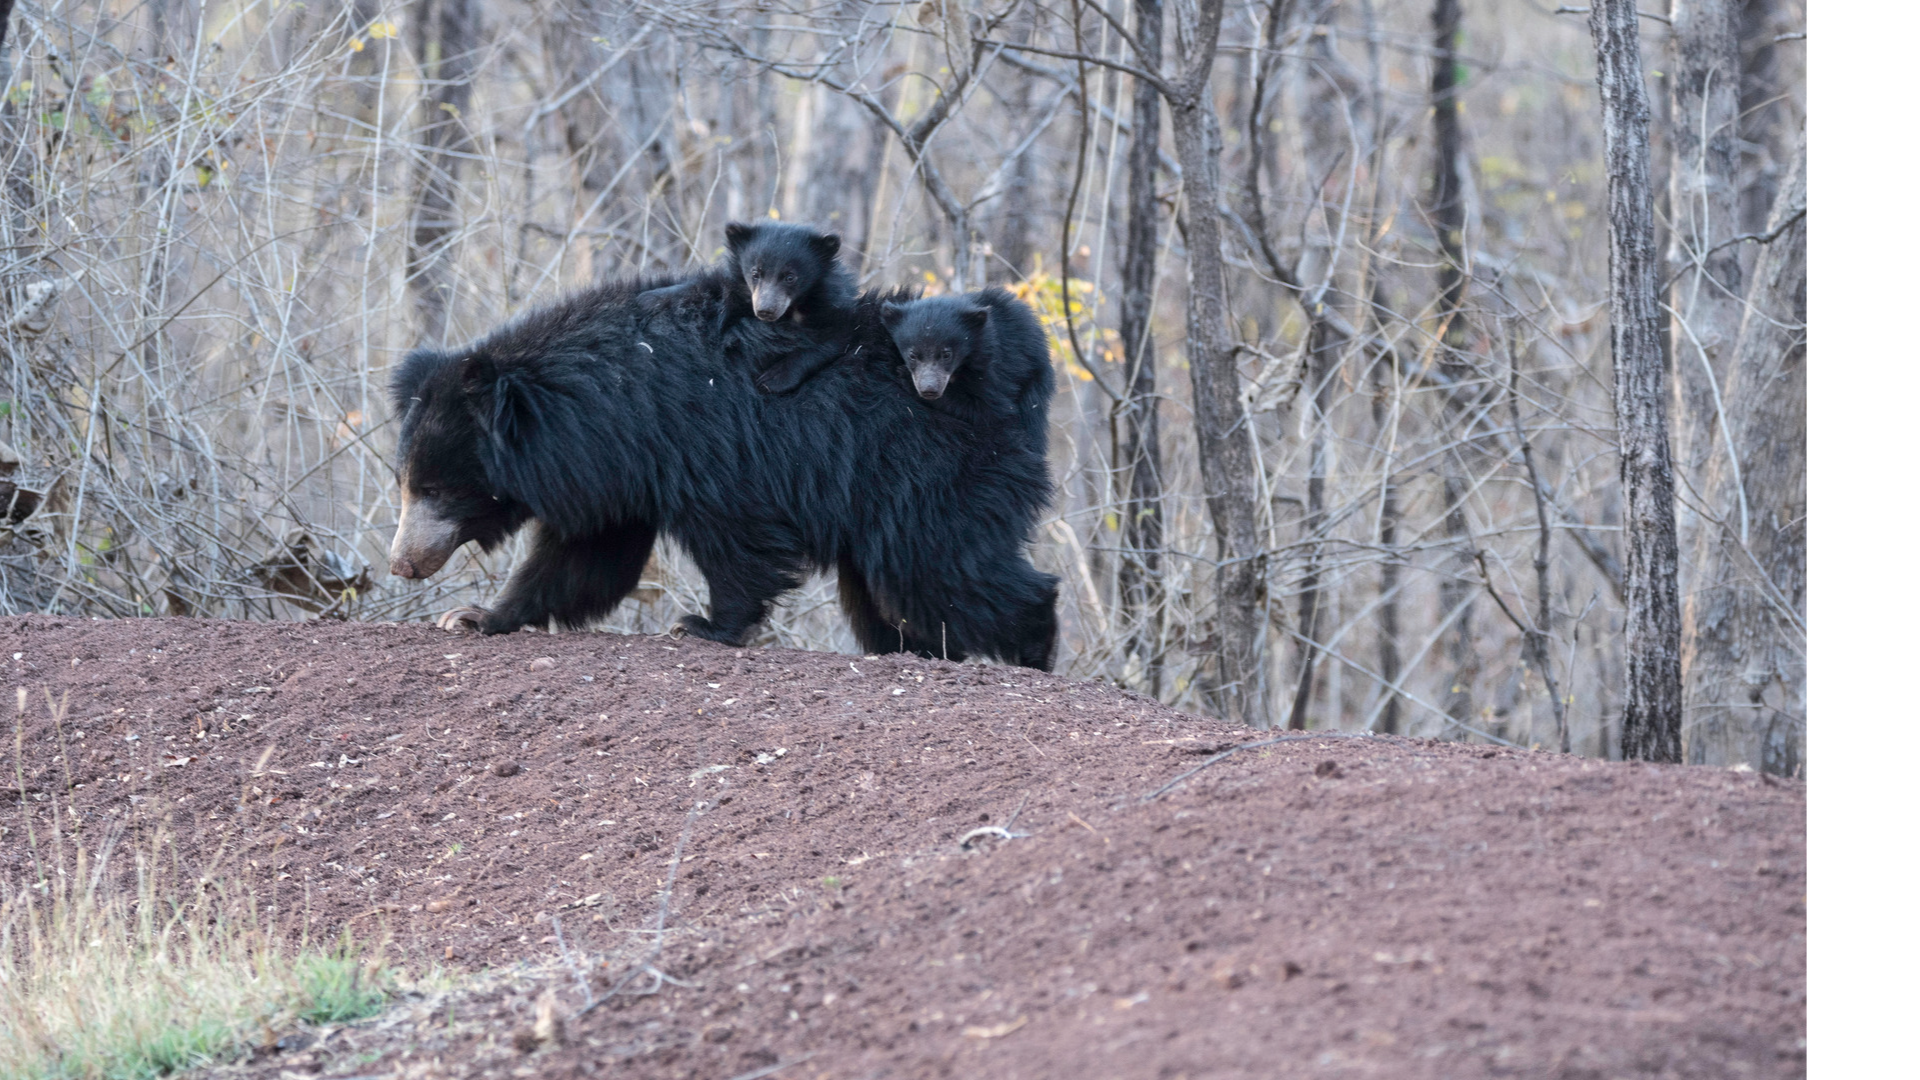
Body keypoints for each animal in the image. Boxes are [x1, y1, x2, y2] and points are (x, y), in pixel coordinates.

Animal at [637, 221, 856, 394]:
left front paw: (772, 380)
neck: (793, 308)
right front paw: (647, 298)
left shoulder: (832, 306)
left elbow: (832, 338)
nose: (765, 310)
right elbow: (710, 287)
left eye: (790, 277)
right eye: (755, 273)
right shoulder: (740, 291)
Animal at [878, 288, 1055, 459]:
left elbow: (991, 410)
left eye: (946, 354)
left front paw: (905, 377)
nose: (929, 389)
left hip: (1032, 377)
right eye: (913, 355)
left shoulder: (993, 368)